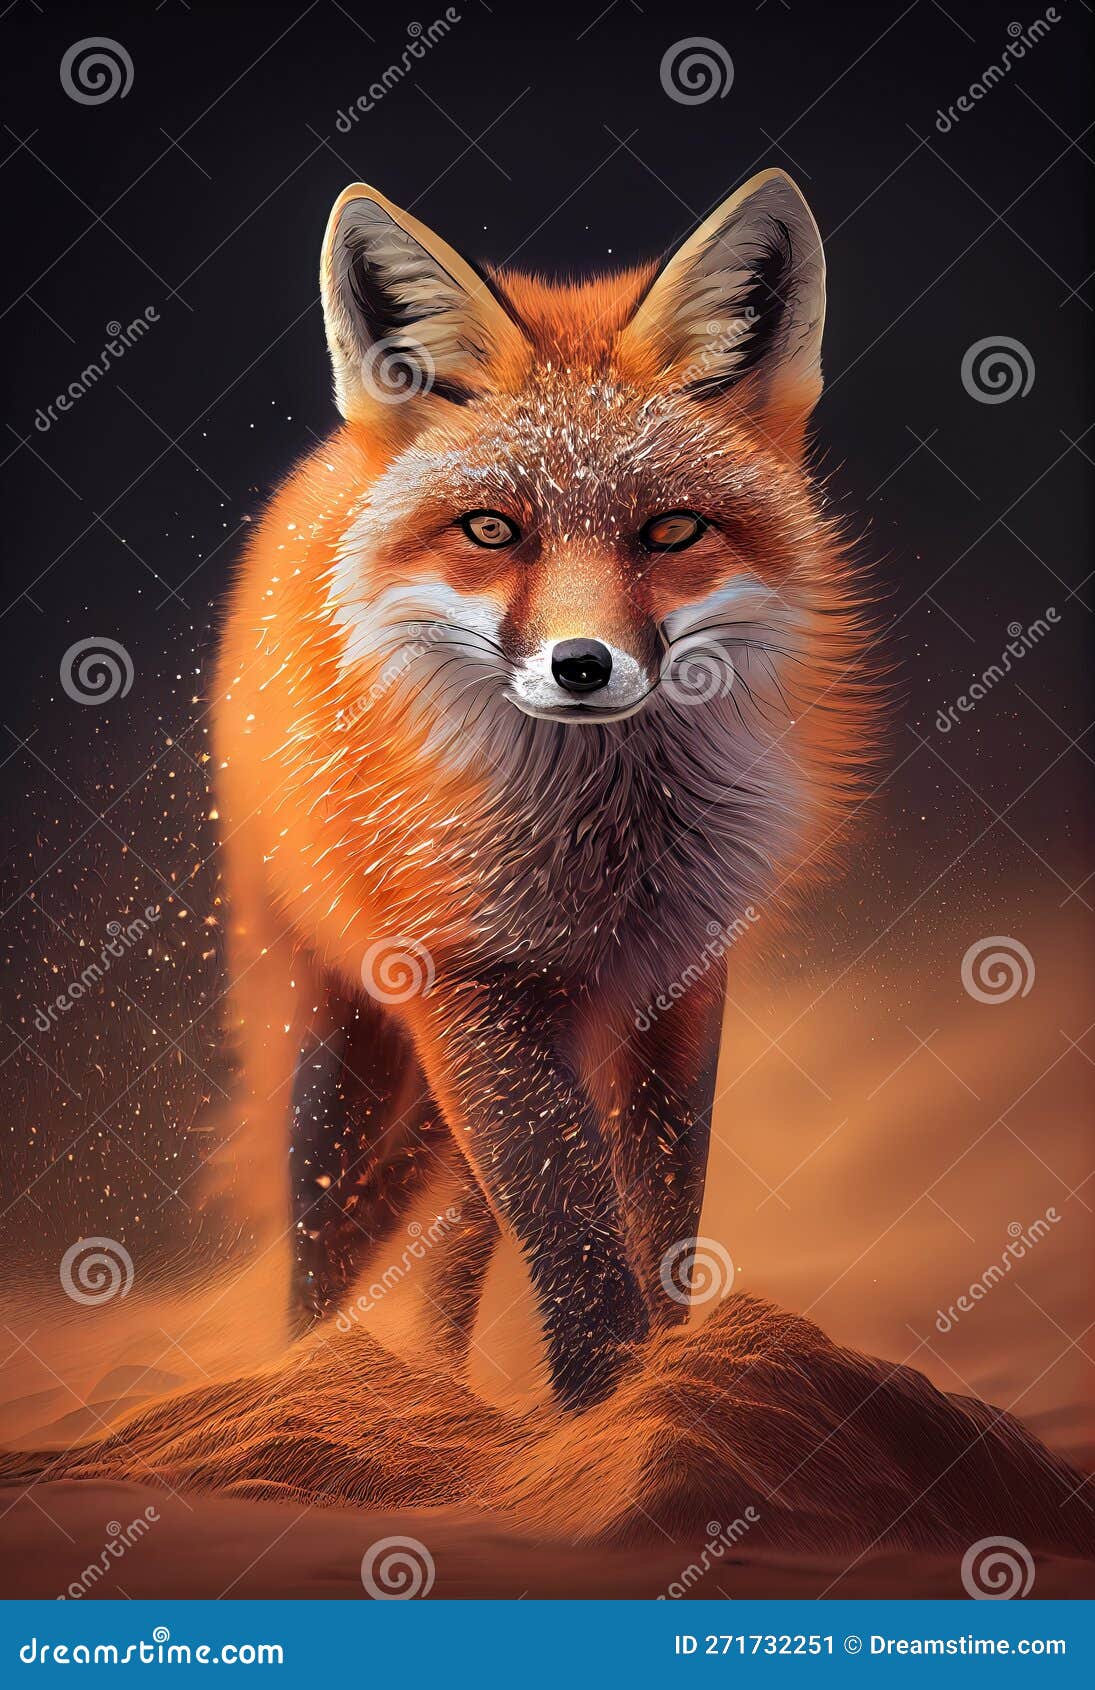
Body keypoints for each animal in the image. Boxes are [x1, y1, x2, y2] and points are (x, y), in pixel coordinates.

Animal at [211, 168, 870, 1411]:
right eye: (492, 530)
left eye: (669, 529)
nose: (581, 664)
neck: (603, 855)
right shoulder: (464, 984)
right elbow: (568, 1222)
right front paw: (604, 1407)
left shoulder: (677, 981)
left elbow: (654, 1210)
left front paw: (660, 1396)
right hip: (338, 1035)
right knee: (329, 1234)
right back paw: (309, 1379)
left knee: (456, 1237)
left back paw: (434, 1386)